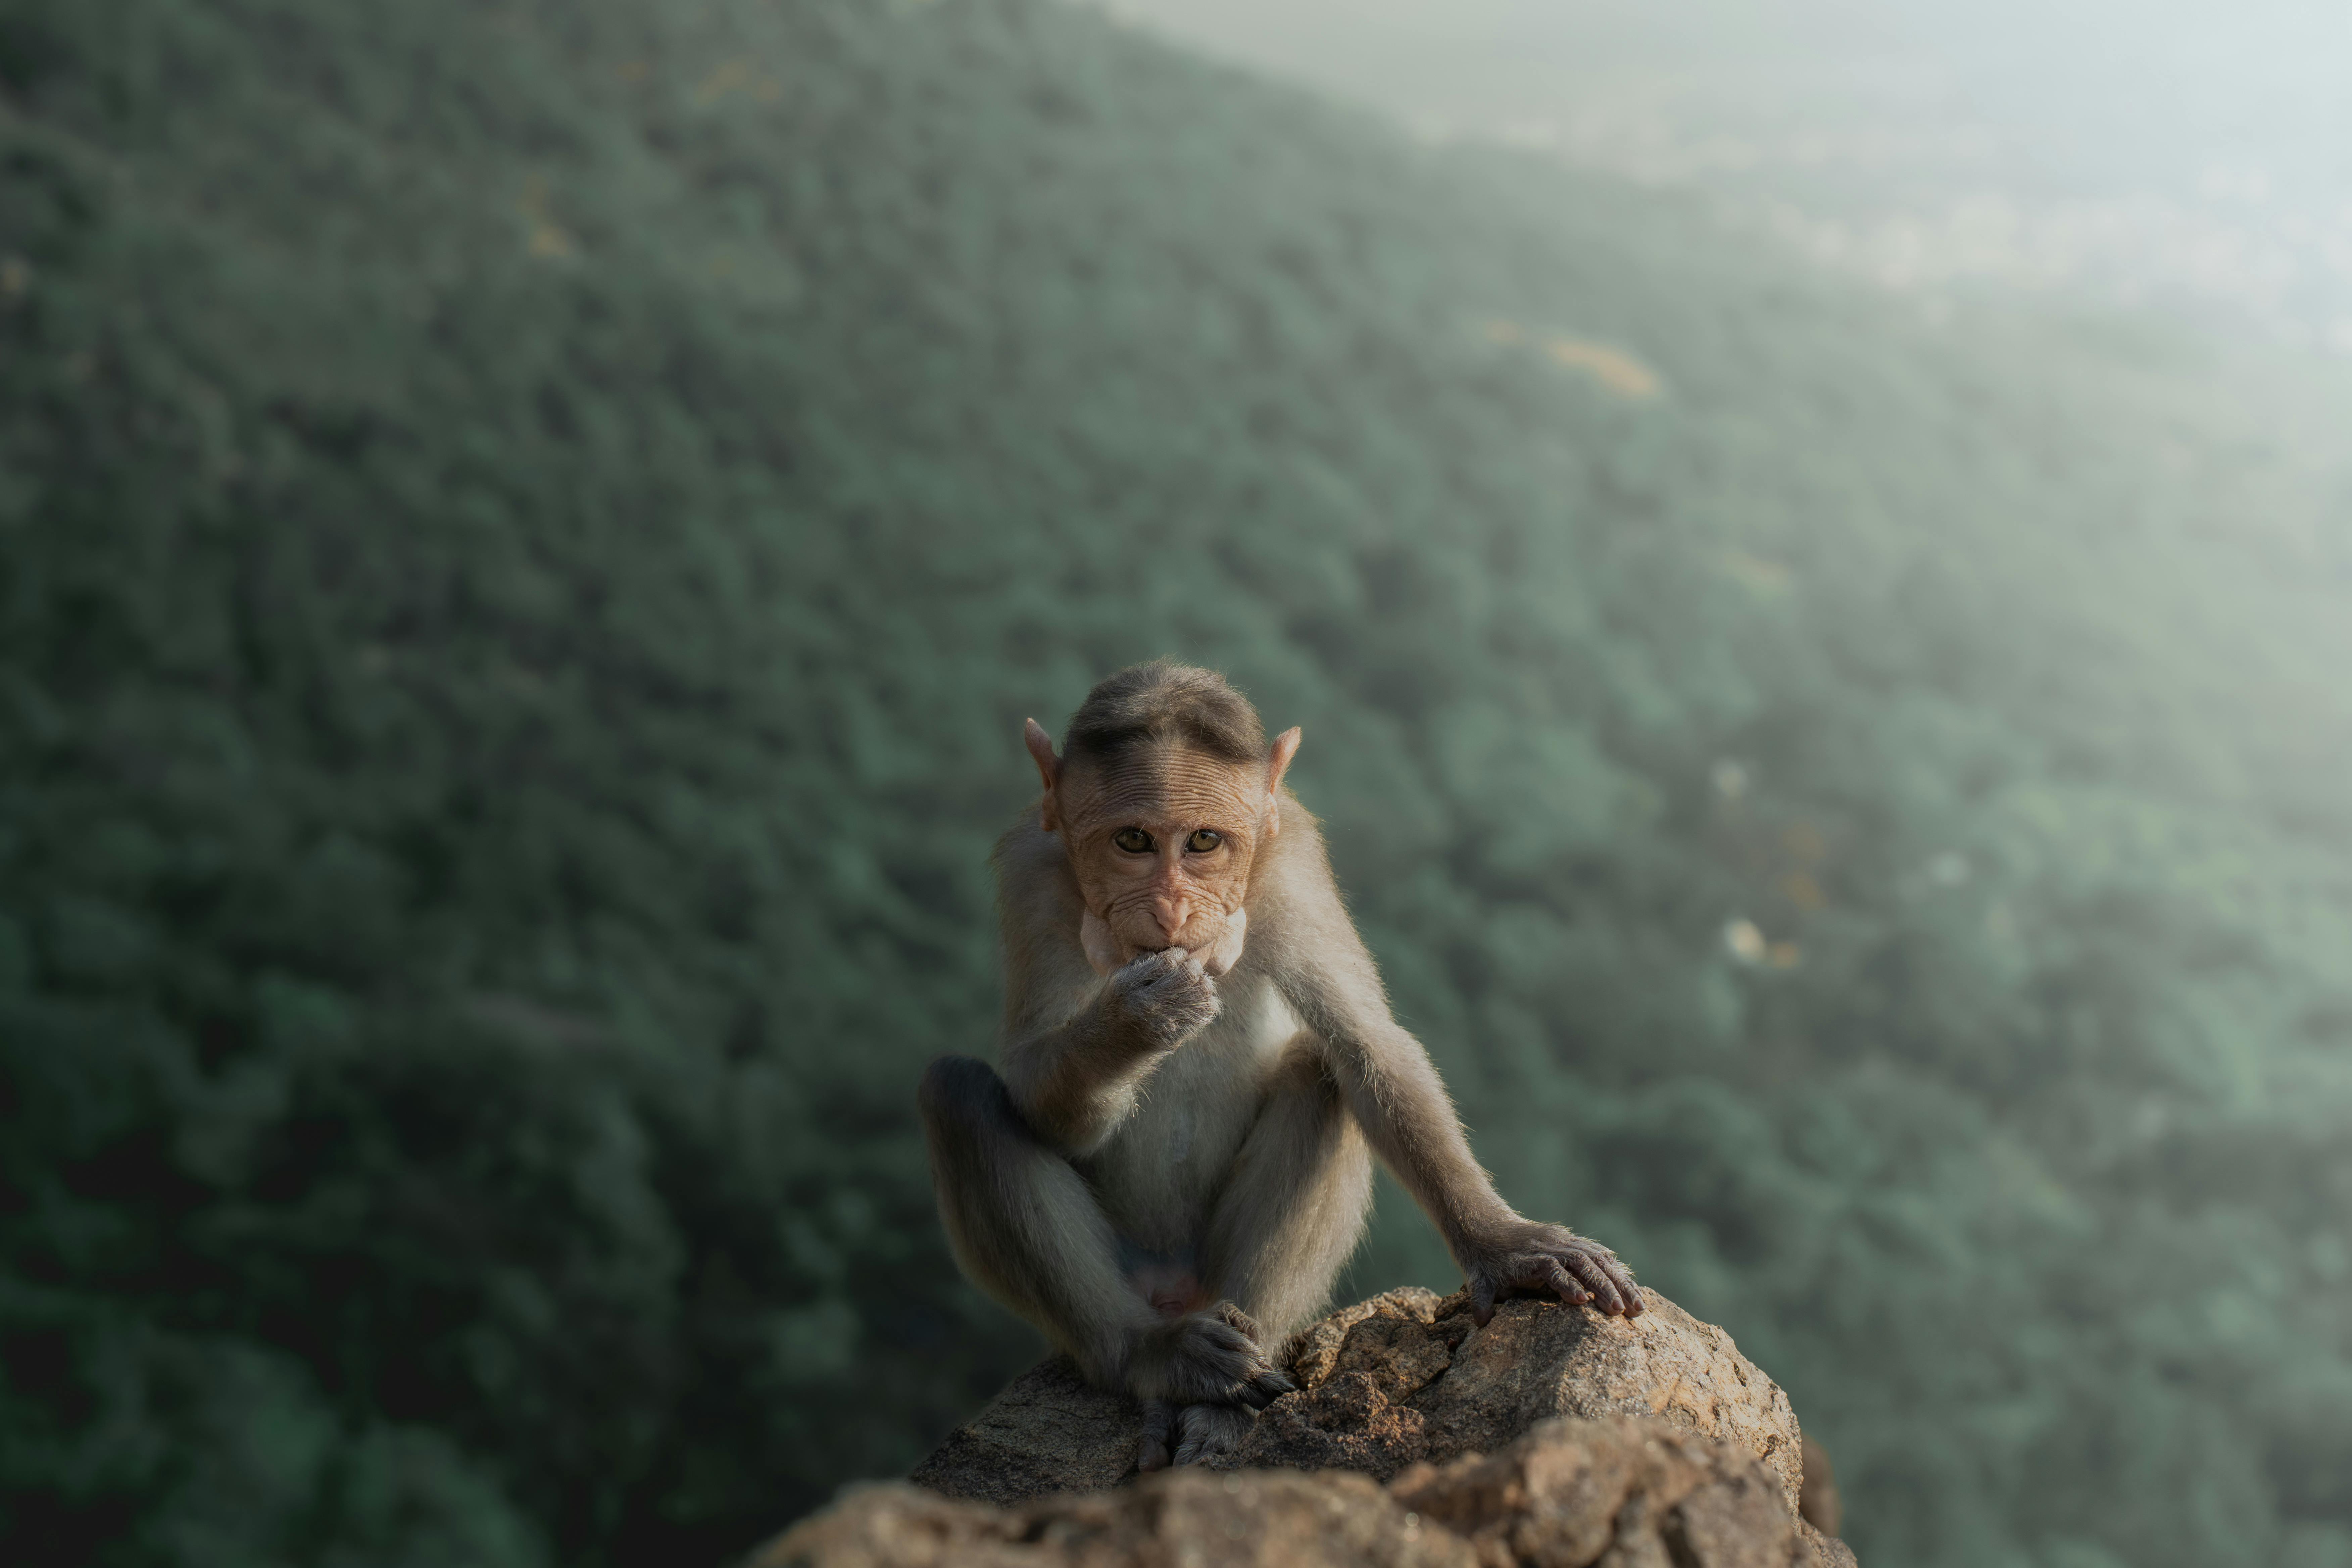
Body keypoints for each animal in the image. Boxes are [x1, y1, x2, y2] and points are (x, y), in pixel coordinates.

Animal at [919, 661, 1639, 1470]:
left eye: (1204, 841)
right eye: (1133, 840)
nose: (1171, 909)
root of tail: (1179, 1293)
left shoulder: (1292, 858)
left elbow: (1367, 1046)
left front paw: (1505, 1245)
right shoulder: (1032, 873)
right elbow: (1036, 1094)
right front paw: (1135, 1020)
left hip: (1219, 1279)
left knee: (1319, 1074)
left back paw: (1228, 1396)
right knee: (960, 1094)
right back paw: (1153, 1356)